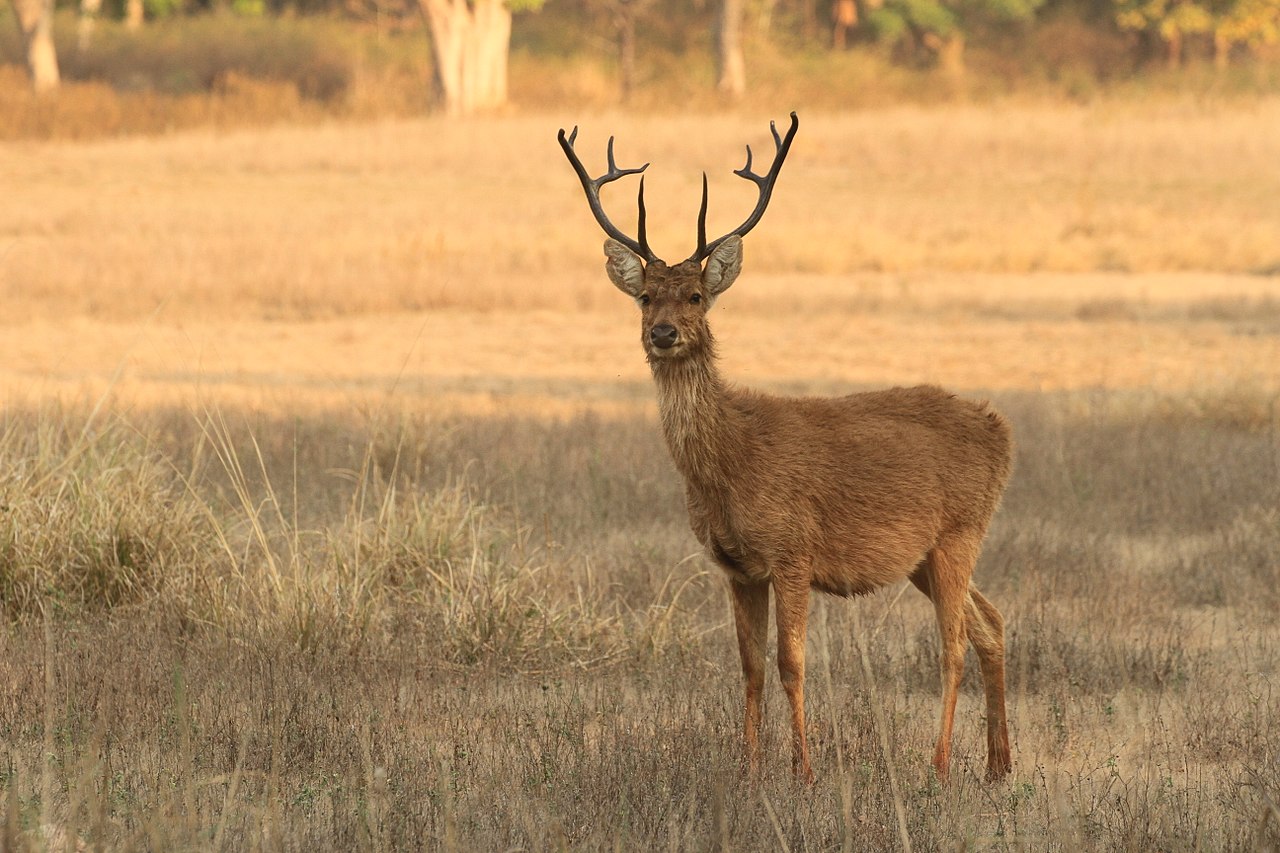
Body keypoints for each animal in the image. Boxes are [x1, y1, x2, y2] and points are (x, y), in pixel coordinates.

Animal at [558, 113, 1013, 785]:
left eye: (695, 296)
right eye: (645, 296)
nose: (662, 333)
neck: (731, 464)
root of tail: (1002, 432)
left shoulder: (794, 551)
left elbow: (791, 664)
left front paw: (803, 771)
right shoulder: (733, 565)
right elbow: (748, 669)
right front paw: (747, 770)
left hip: (960, 530)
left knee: (953, 644)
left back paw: (940, 766)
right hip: (925, 556)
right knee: (992, 623)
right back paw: (998, 764)